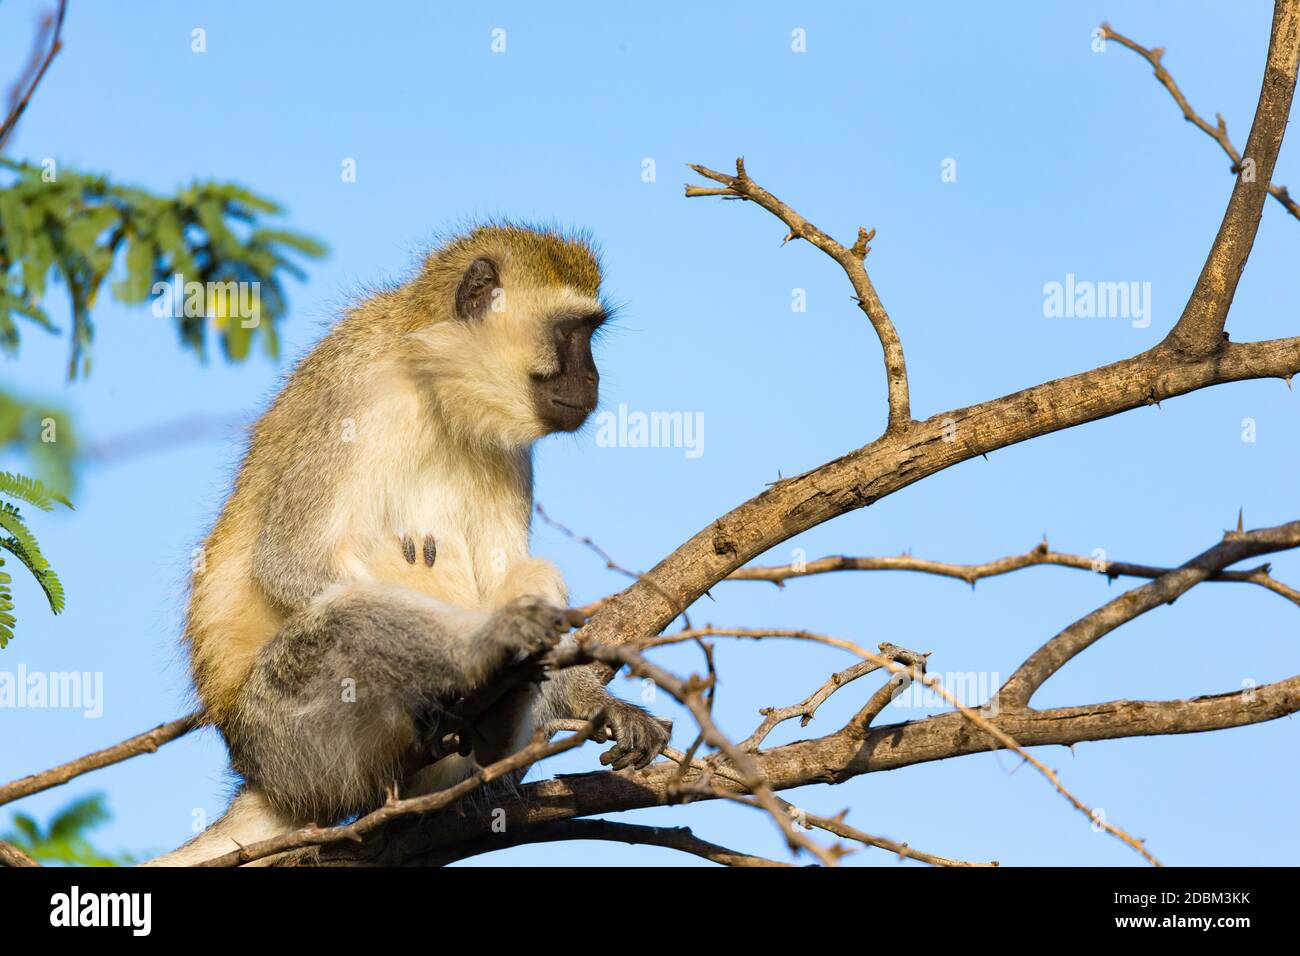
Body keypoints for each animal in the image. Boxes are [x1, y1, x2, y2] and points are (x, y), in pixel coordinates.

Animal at [146, 224, 671, 865]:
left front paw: (590, 697)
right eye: (573, 332)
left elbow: (502, 572)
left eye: (593, 333)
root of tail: (268, 785)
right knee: (347, 621)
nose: (592, 379)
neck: (433, 382)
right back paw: (482, 664)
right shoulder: (354, 387)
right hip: (289, 736)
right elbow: (290, 563)